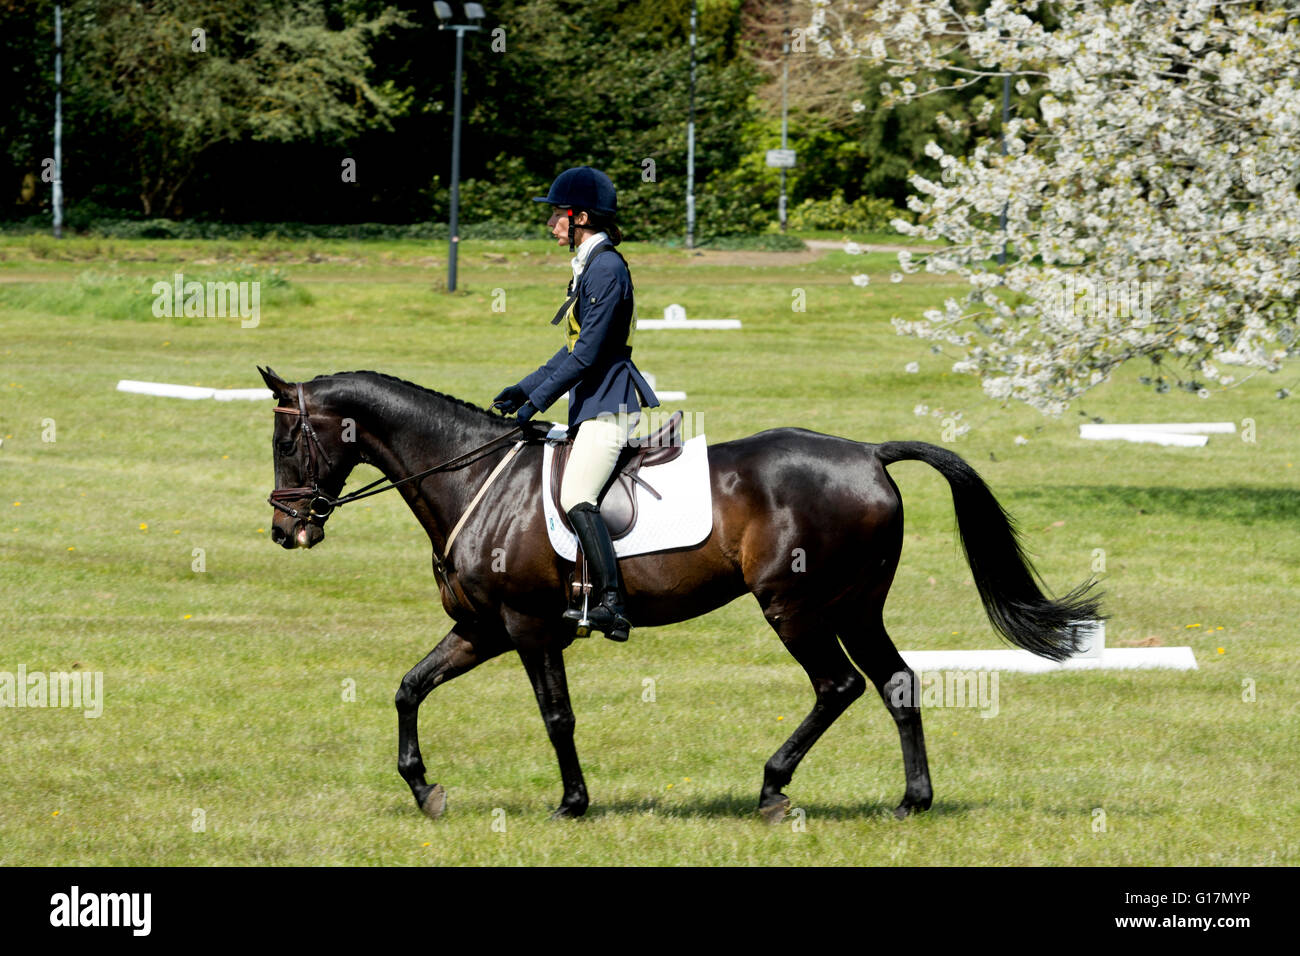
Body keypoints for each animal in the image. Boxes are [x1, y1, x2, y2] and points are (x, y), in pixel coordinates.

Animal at [258, 366, 1102, 822]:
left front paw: (572, 804)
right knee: (897, 682)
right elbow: (408, 688)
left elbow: (556, 716)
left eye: (290, 438)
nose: (285, 531)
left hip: (794, 606)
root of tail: (867, 453)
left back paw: (773, 789)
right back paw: (910, 802)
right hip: (856, 605)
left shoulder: (529, 627)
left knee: (838, 685)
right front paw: (424, 789)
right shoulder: (482, 629)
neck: (472, 478)